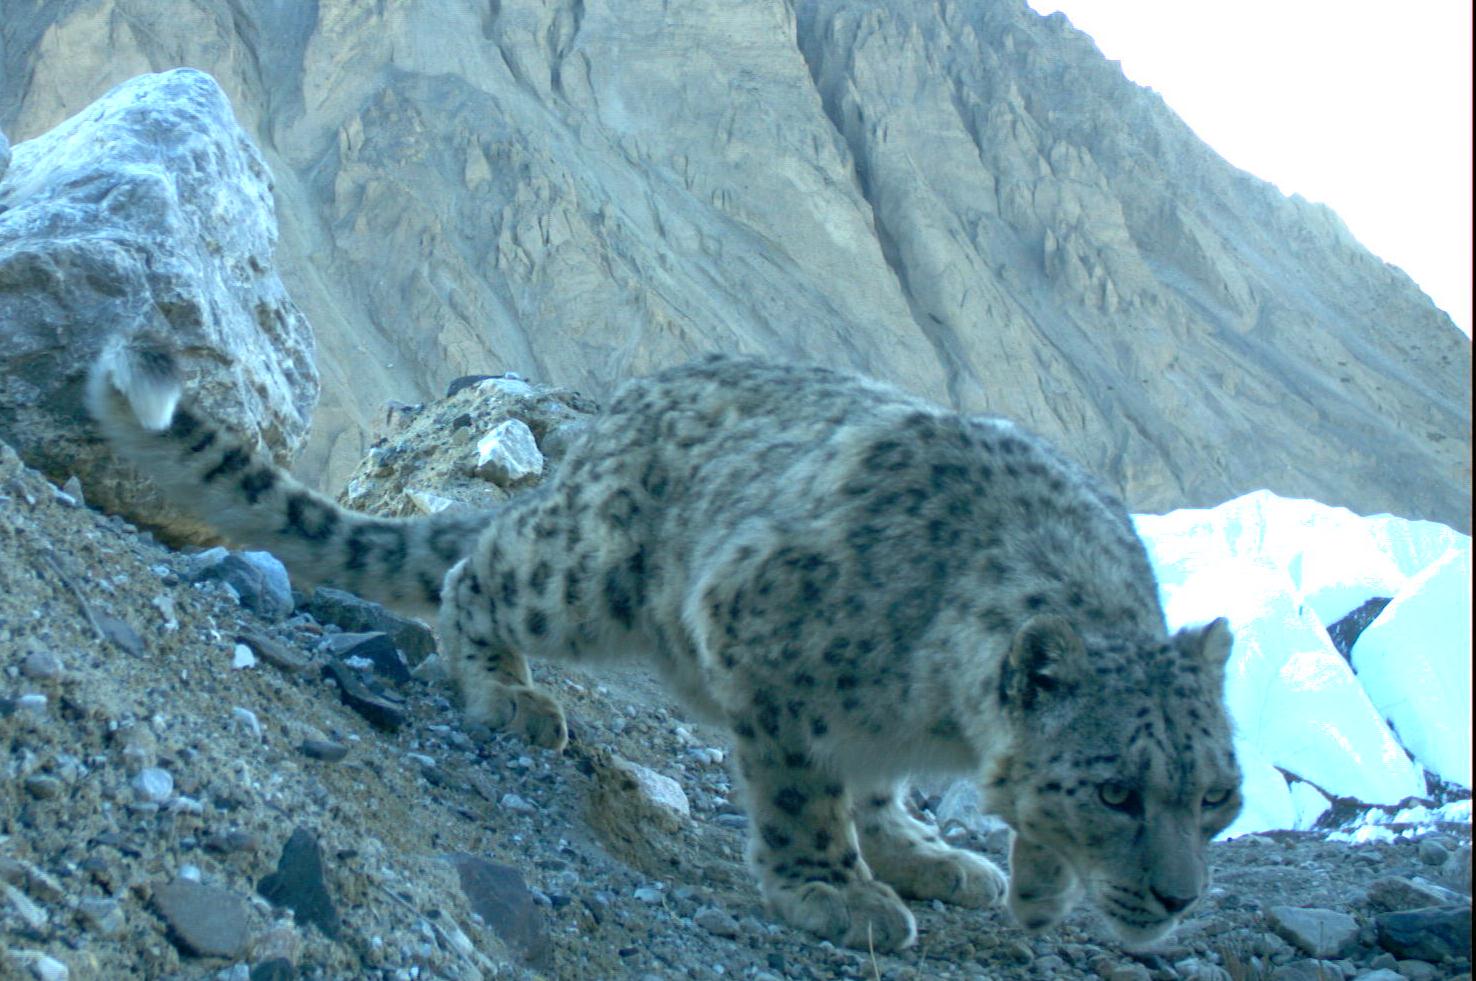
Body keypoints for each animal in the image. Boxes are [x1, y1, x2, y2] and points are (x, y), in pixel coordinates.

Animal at [87, 343, 1243, 951]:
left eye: (1218, 795)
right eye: (1118, 791)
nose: (1181, 899)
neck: (938, 724)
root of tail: (621, 410)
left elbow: (876, 785)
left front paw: (922, 855)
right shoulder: (761, 630)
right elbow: (807, 782)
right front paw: (835, 889)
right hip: (585, 572)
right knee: (478, 572)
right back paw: (508, 695)